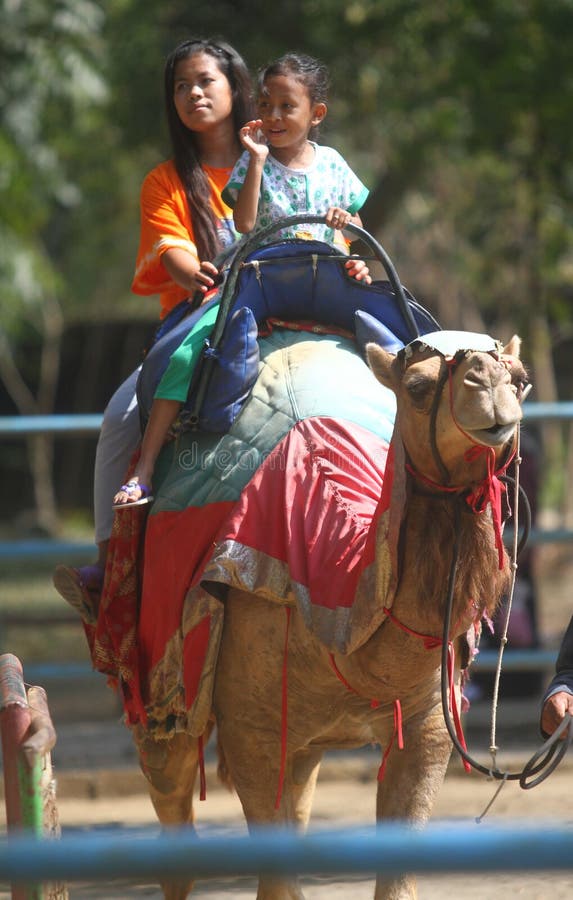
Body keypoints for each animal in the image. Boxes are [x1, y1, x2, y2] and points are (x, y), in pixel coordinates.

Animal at [126, 327, 527, 900]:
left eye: (519, 379)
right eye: (417, 387)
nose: (490, 383)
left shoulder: (426, 726)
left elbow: (396, 879)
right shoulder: (250, 732)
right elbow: (275, 879)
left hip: (304, 749)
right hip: (161, 681)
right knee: (172, 798)